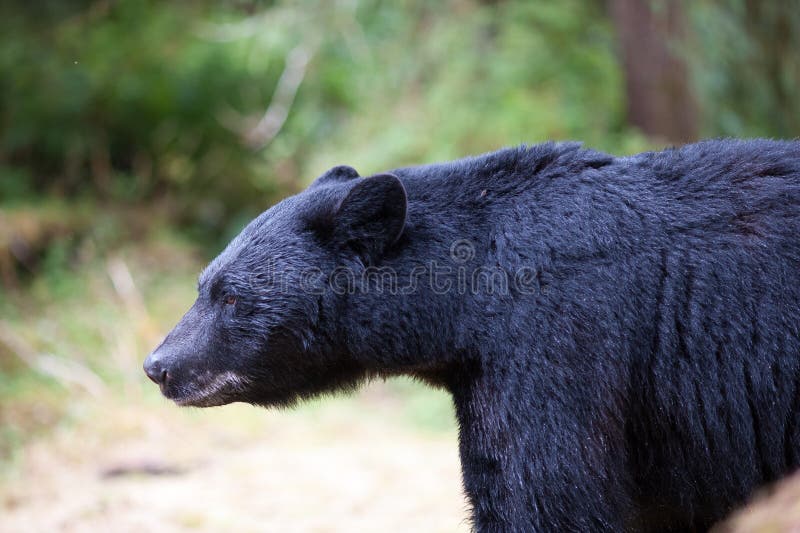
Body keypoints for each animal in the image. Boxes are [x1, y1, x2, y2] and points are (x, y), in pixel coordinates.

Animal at [144, 139, 800, 532]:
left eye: (230, 297)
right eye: (202, 285)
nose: (159, 365)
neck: (471, 288)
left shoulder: (556, 343)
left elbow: (543, 490)